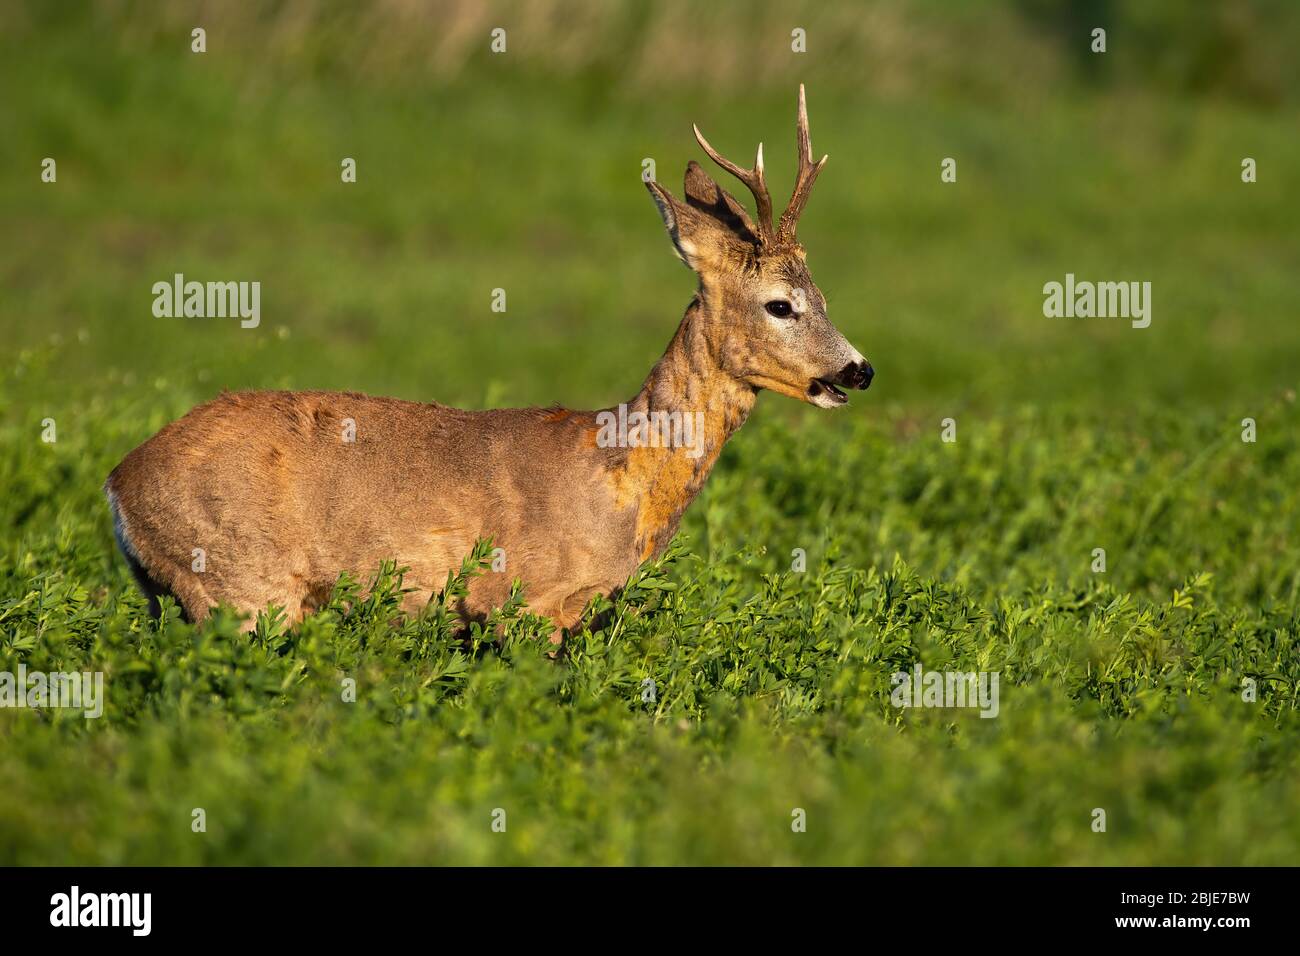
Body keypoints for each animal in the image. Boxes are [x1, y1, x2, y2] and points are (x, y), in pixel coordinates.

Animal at [104, 85, 873, 636]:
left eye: (824, 295)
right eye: (781, 305)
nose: (858, 370)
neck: (617, 473)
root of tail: (117, 487)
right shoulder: (519, 600)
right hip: (240, 585)